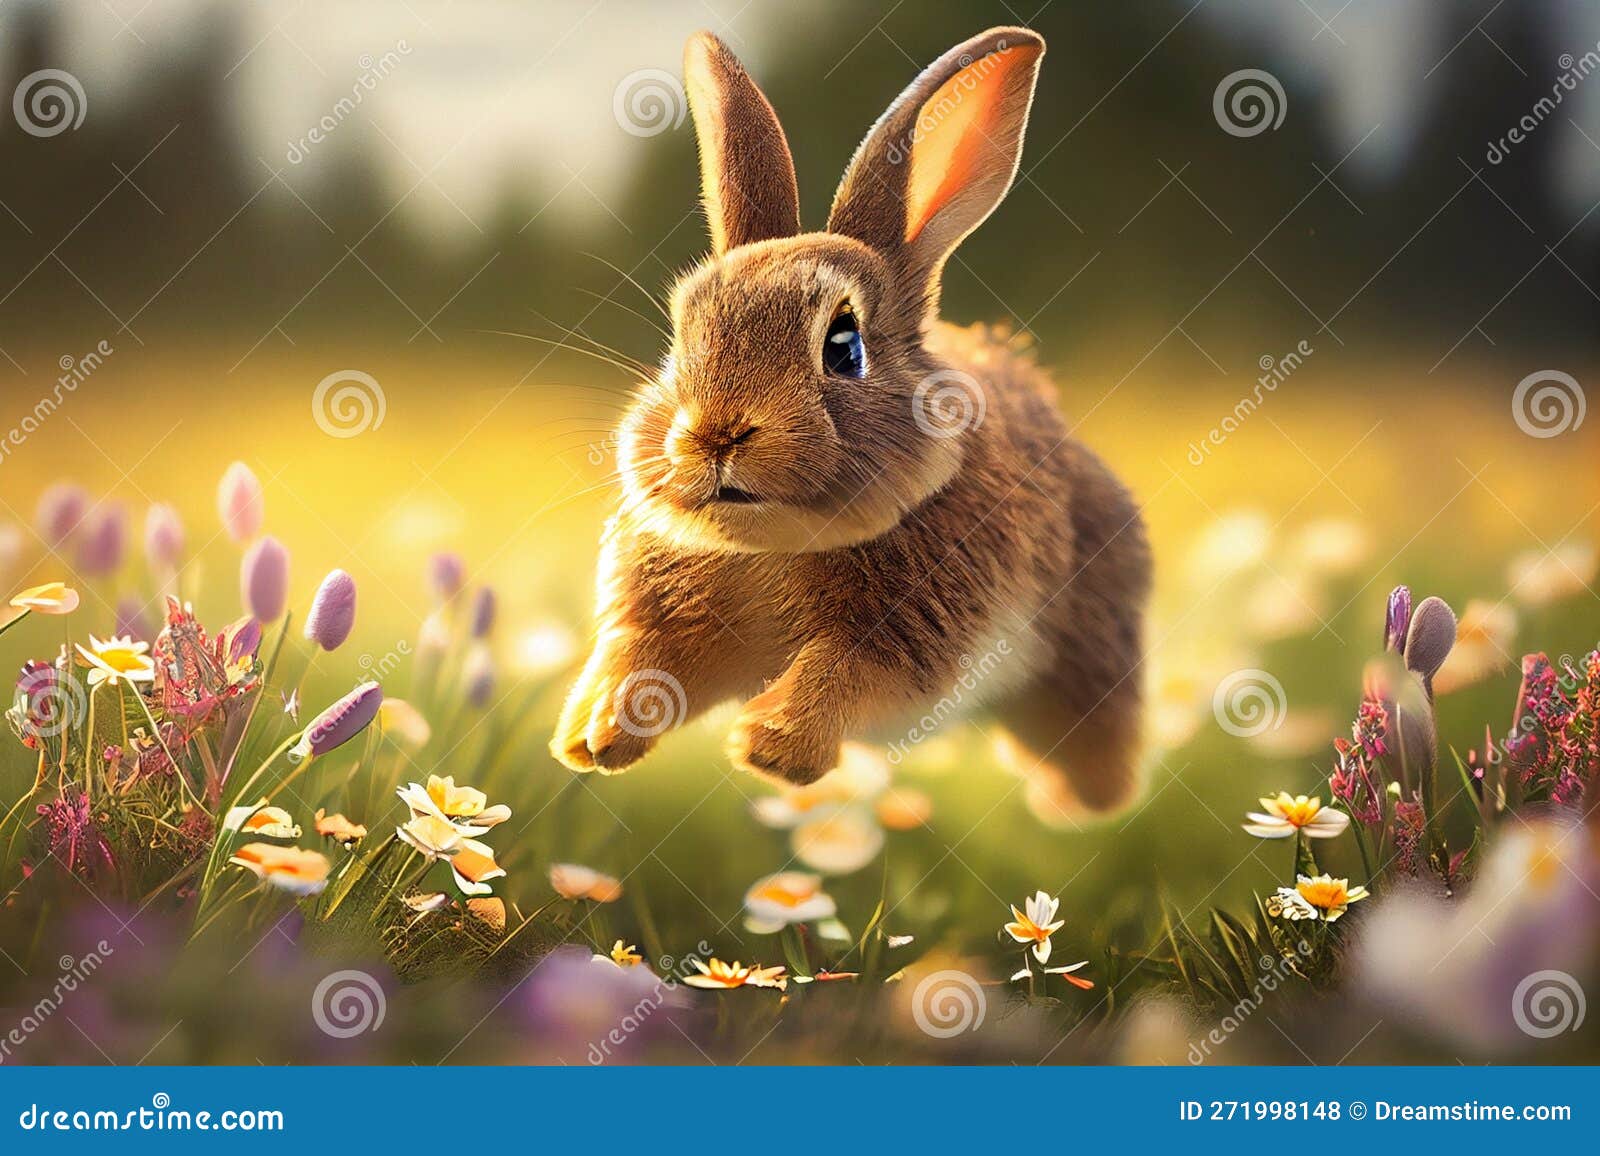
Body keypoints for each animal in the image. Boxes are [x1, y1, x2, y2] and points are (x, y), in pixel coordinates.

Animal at [550, 26, 1152, 816]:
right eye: (682, 335)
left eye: (845, 346)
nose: (717, 433)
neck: (774, 542)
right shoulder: (657, 617)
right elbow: (639, 660)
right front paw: (592, 740)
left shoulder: (910, 638)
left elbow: (840, 675)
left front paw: (767, 749)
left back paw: (1082, 801)